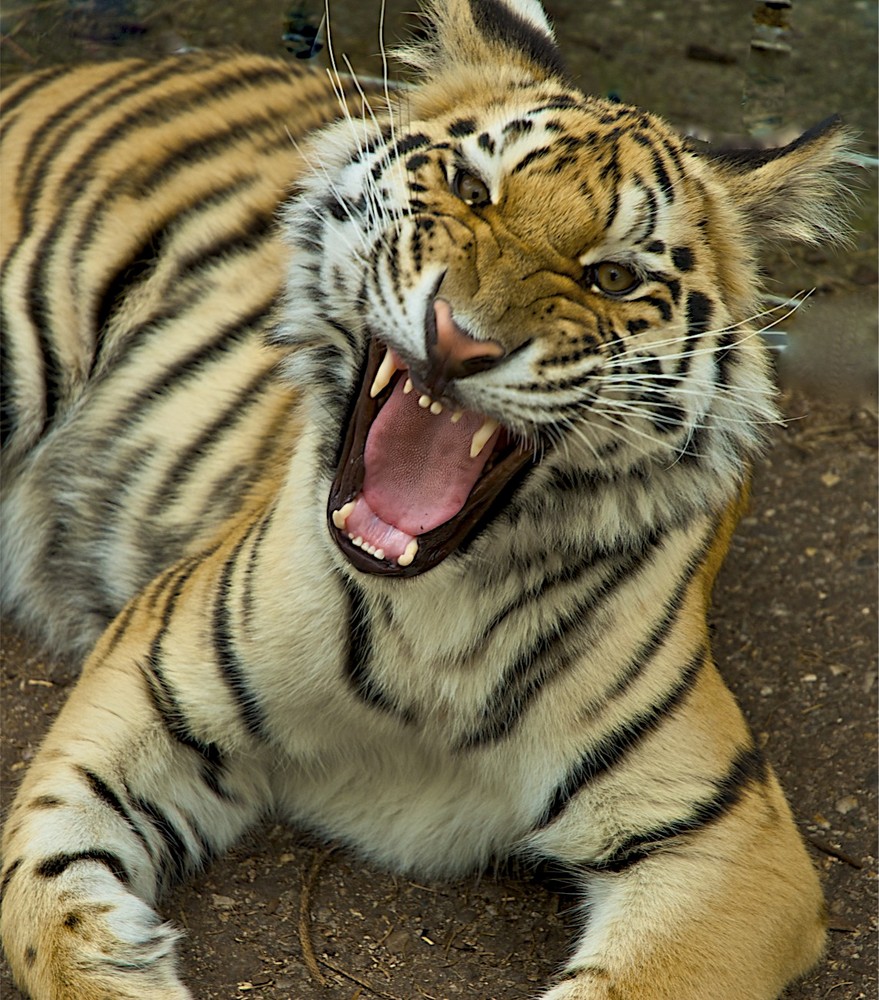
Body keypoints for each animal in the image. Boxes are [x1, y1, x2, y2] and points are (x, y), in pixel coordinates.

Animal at [0, 1, 856, 998]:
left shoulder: (726, 843)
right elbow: (46, 892)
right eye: (469, 189)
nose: (461, 339)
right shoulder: (140, 684)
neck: (433, 610)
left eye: (612, 276)